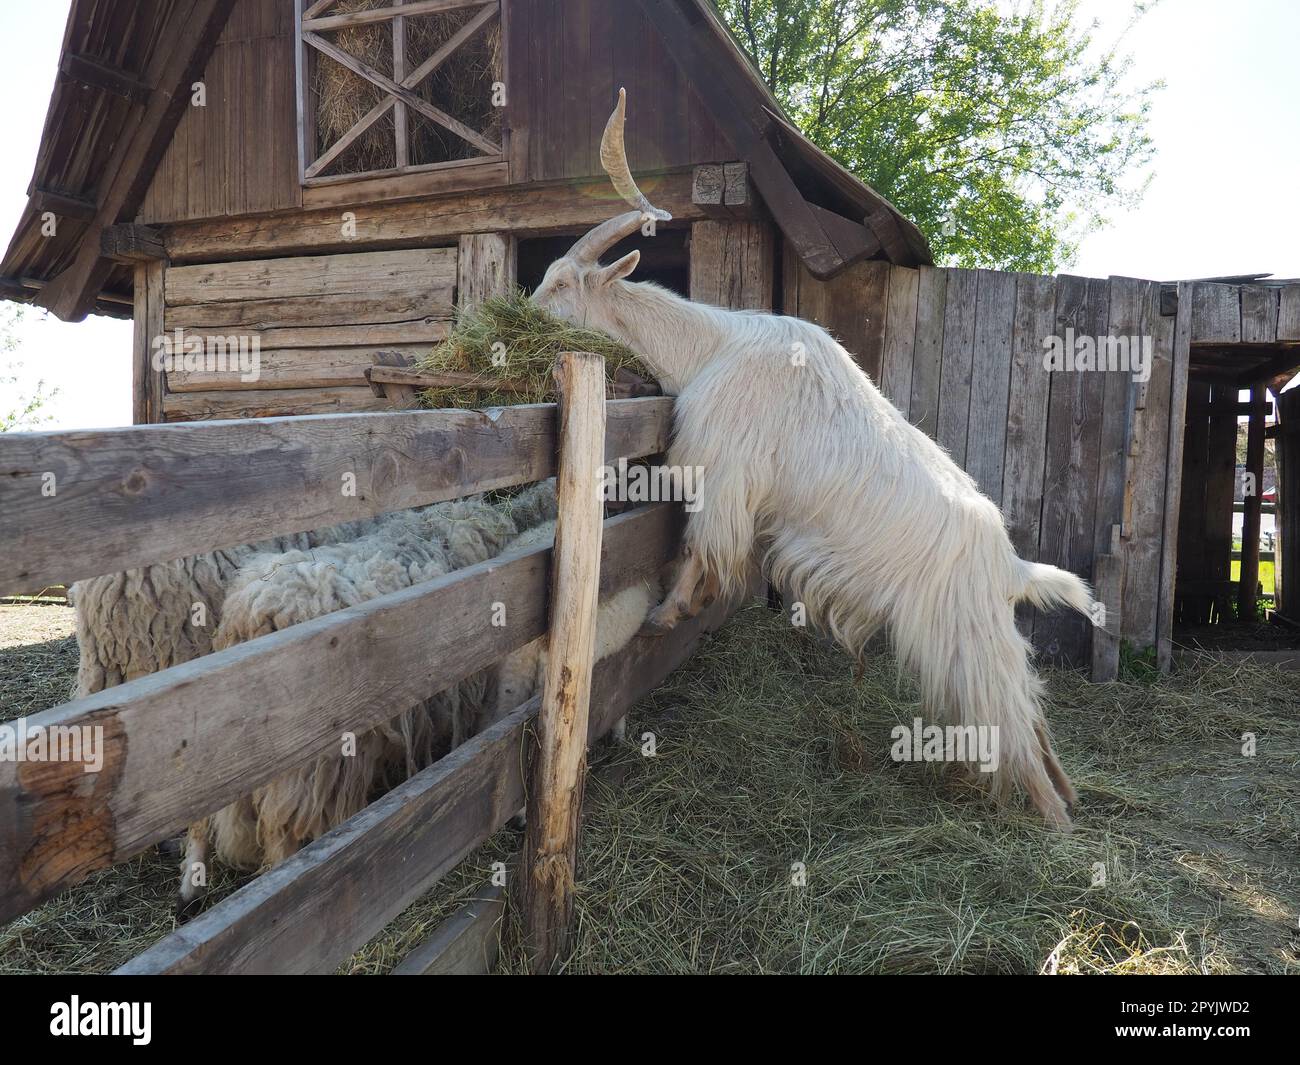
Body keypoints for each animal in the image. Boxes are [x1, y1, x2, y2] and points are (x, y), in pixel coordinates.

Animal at [529, 90, 1093, 828]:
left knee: (1012, 723)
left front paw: (666, 614)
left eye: (563, 281)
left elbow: (702, 547)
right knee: (1031, 711)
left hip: (964, 636)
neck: (713, 346)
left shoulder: (724, 473)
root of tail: (1009, 565)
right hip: (988, 635)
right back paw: (1068, 795)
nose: (514, 309)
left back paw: (1054, 822)